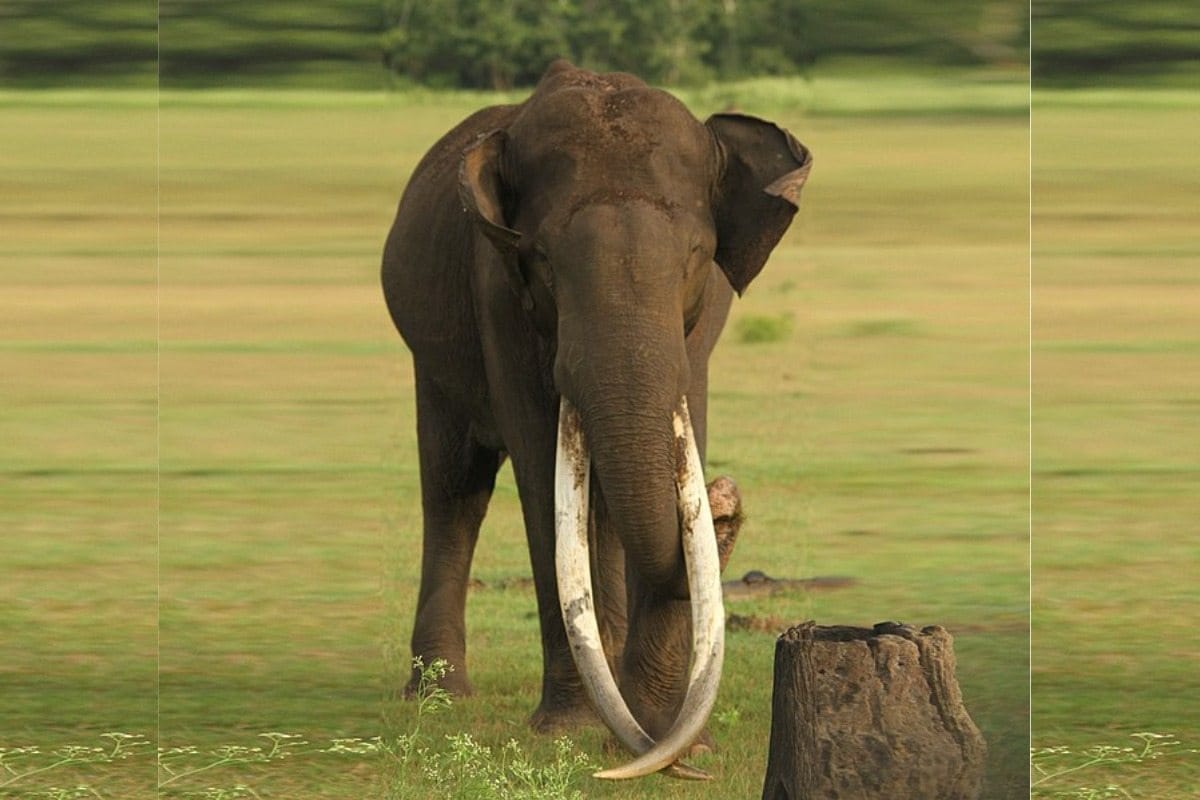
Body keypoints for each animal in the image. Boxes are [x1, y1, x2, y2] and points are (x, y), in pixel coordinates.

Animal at [381, 60, 811, 779]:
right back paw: (439, 698)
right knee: (454, 489)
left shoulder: (703, 322)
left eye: (697, 257)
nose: (727, 500)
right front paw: (570, 731)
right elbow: (540, 475)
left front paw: (675, 741)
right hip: (433, 362)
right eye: (544, 261)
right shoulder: (498, 291)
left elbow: (679, 438)